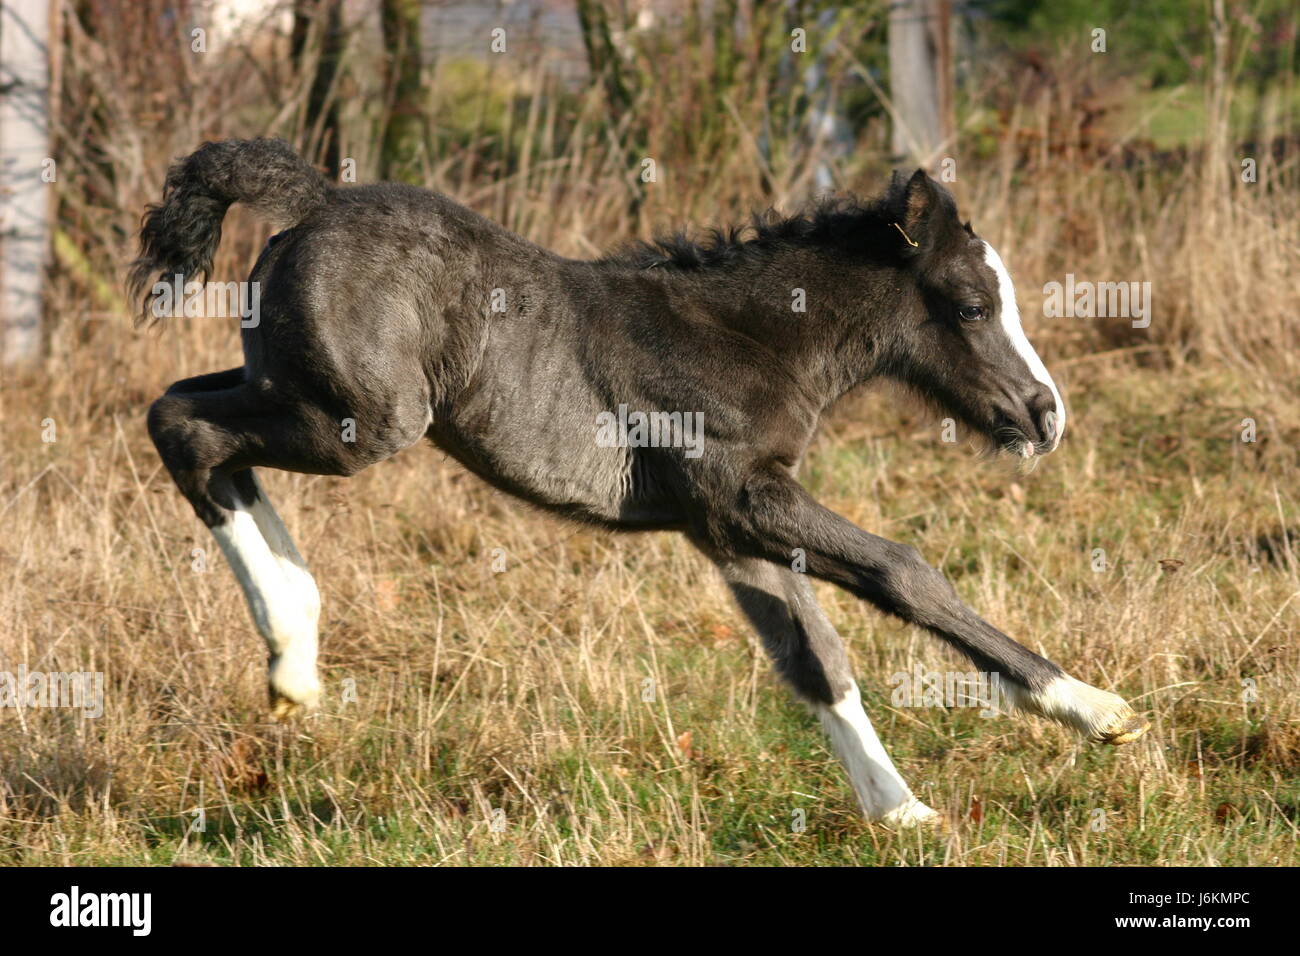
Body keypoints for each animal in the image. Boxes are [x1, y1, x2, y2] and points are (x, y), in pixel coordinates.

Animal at [130, 139, 1148, 828]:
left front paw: (901, 813)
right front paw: (1093, 709)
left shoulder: (731, 528)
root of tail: (312, 199)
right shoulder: (744, 498)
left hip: (293, 389)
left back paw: (297, 652)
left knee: (193, 419)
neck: (748, 338)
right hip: (362, 424)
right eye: (972, 306)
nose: (1045, 415)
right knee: (183, 428)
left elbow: (816, 658)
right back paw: (288, 646)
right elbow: (905, 571)